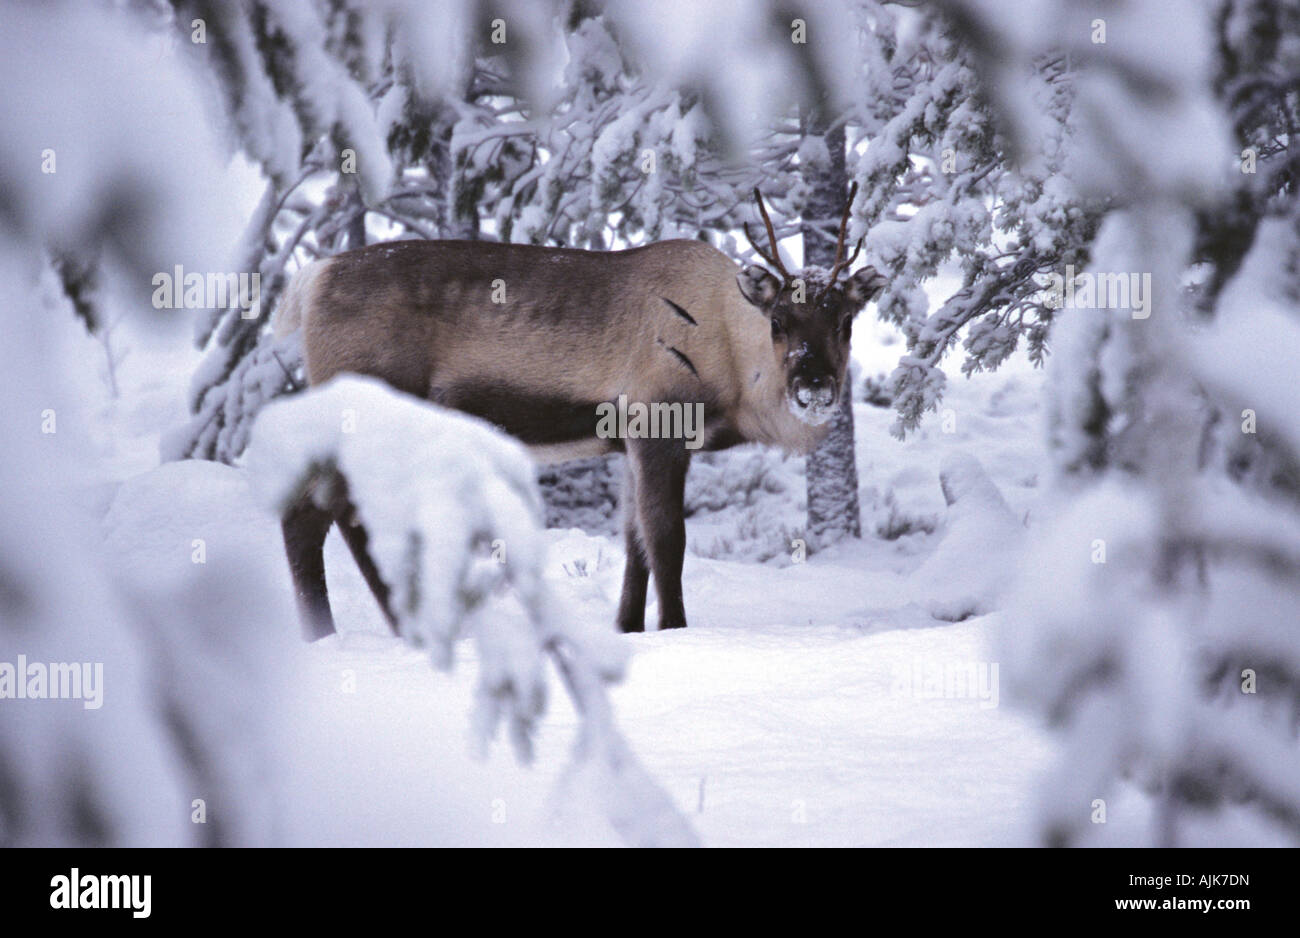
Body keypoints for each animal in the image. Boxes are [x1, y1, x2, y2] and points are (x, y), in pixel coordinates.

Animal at [272, 185, 886, 640]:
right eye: (778, 321)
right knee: (333, 512)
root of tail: (310, 281)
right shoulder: (657, 423)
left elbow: (635, 541)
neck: (734, 365)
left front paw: (628, 628)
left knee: (311, 511)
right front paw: (675, 628)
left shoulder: (636, 442)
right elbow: (667, 540)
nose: (814, 387)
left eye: (845, 322)